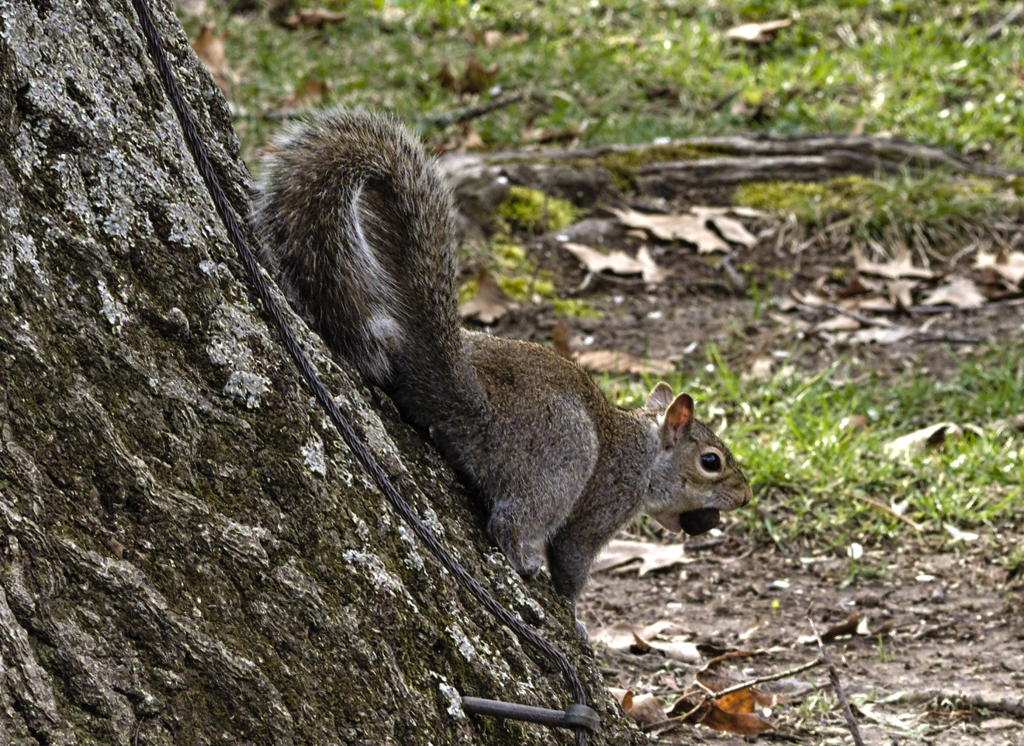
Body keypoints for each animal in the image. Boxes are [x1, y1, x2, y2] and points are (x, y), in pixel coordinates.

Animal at [252, 109, 753, 631]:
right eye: (712, 462)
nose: (744, 497)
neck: (647, 453)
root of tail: (470, 395)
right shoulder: (603, 502)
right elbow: (571, 560)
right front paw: (576, 617)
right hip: (561, 459)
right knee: (511, 520)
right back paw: (522, 559)